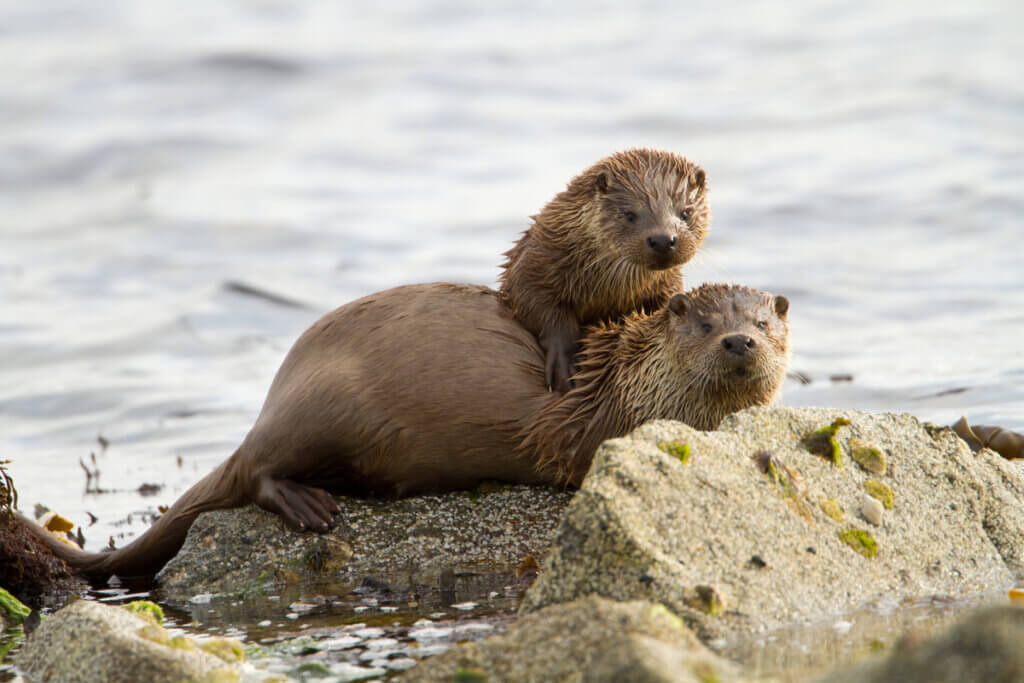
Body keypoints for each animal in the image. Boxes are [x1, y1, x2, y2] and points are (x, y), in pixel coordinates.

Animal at [22, 282, 788, 581]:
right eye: (703, 322)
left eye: (763, 320)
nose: (740, 341)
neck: (623, 380)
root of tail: (275, 397)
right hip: (322, 406)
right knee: (259, 470)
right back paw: (311, 505)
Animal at [500, 148, 710, 393]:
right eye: (629, 215)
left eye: (686, 212)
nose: (663, 240)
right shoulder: (534, 265)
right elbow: (539, 308)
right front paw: (563, 365)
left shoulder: (667, 284)